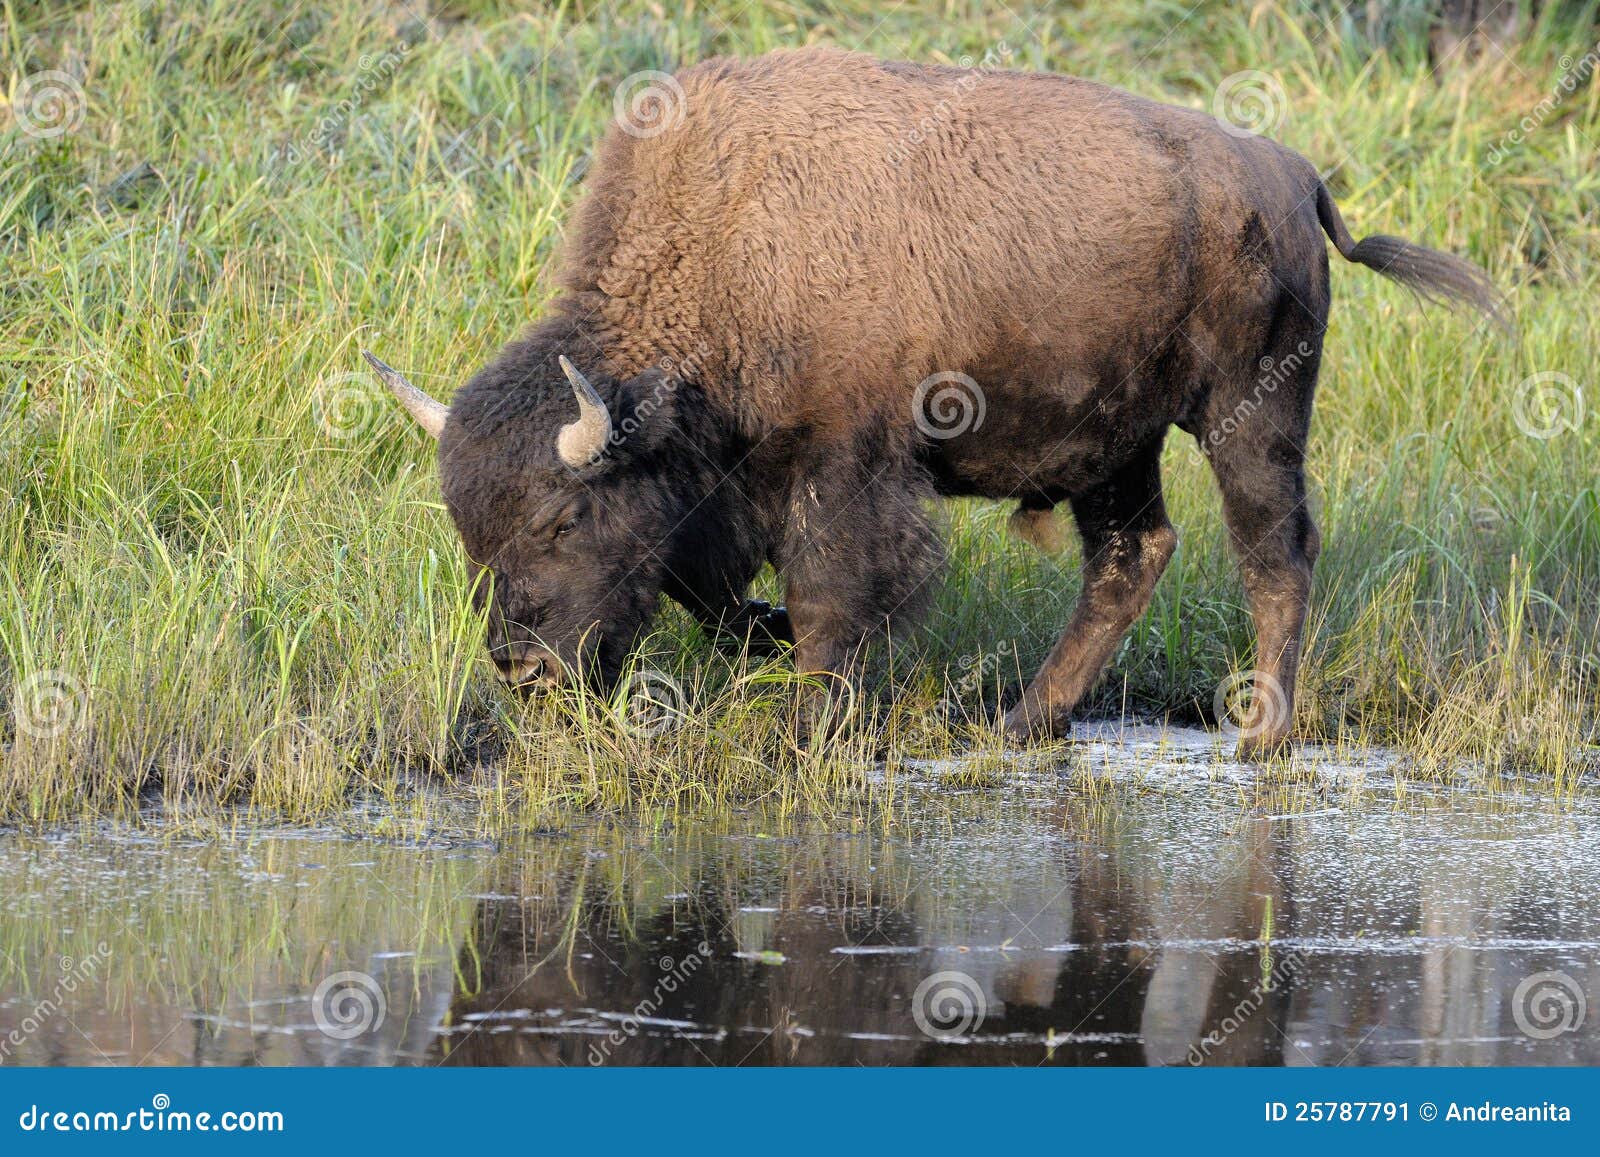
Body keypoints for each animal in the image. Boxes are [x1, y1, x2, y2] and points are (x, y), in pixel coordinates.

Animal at [365, 47, 1502, 755]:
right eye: (467, 527)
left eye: (562, 518)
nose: (520, 667)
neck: (730, 241)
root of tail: (1293, 175)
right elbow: (718, 592)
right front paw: (773, 650)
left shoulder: (844, 464)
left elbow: (832, 591)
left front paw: (808, 723)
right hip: (1118, 442)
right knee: (1131, 553)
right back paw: (1025, 722)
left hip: (1250, 415)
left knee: (1275, 550)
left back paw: (1262, 733)